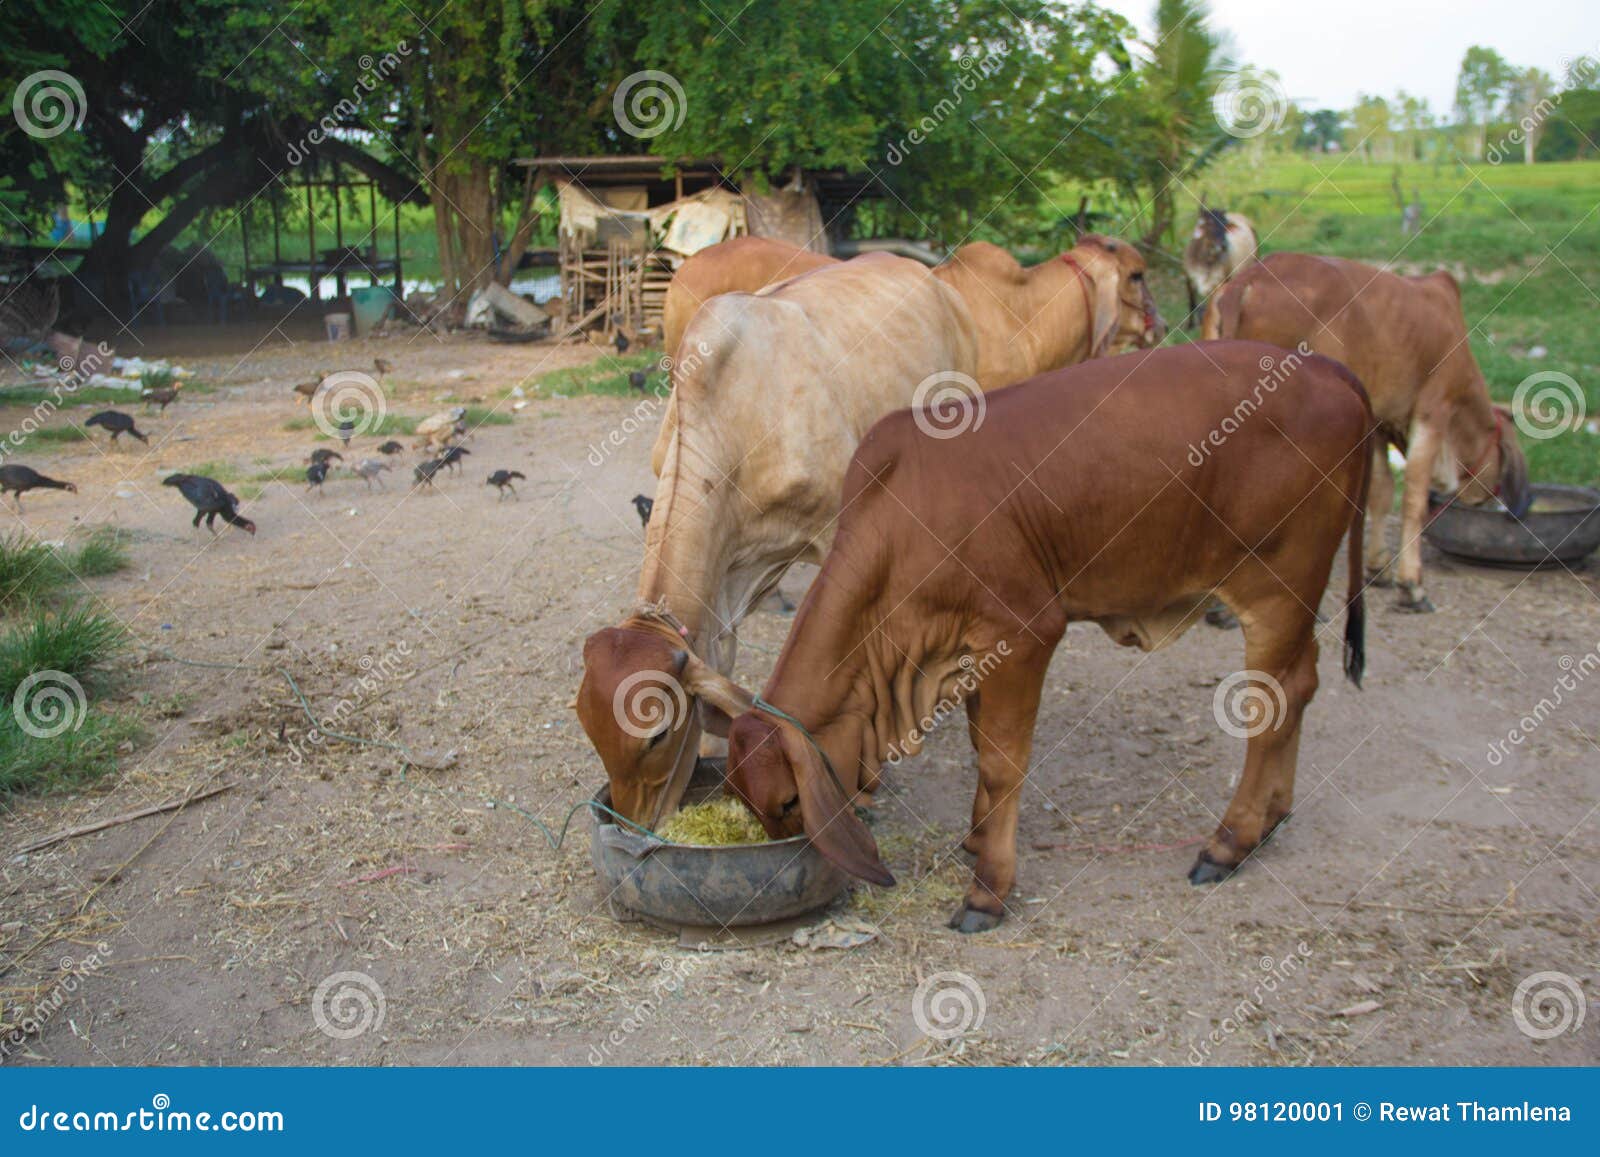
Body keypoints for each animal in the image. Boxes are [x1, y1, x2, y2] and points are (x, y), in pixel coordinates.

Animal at [724, 341, 1373, 932]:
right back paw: (1273, 818)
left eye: (788, 802)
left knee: (1272, 708)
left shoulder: (1024, 634)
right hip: (1294, 602)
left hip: (1275, 589)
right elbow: (980, 743)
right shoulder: (971, 652)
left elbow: (1001, 761)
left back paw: (1229, 843)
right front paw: (976, 837)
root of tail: (1326, 367)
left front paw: (988, 890)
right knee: (1302, 684)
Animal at [1204, 252, 1530, 612]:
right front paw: (1411, 585)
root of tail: (1247, 282)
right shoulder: (1432, 412)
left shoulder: (1376, 424)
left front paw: (1378, 567)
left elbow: (1381, 491)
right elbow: (1413, 498)